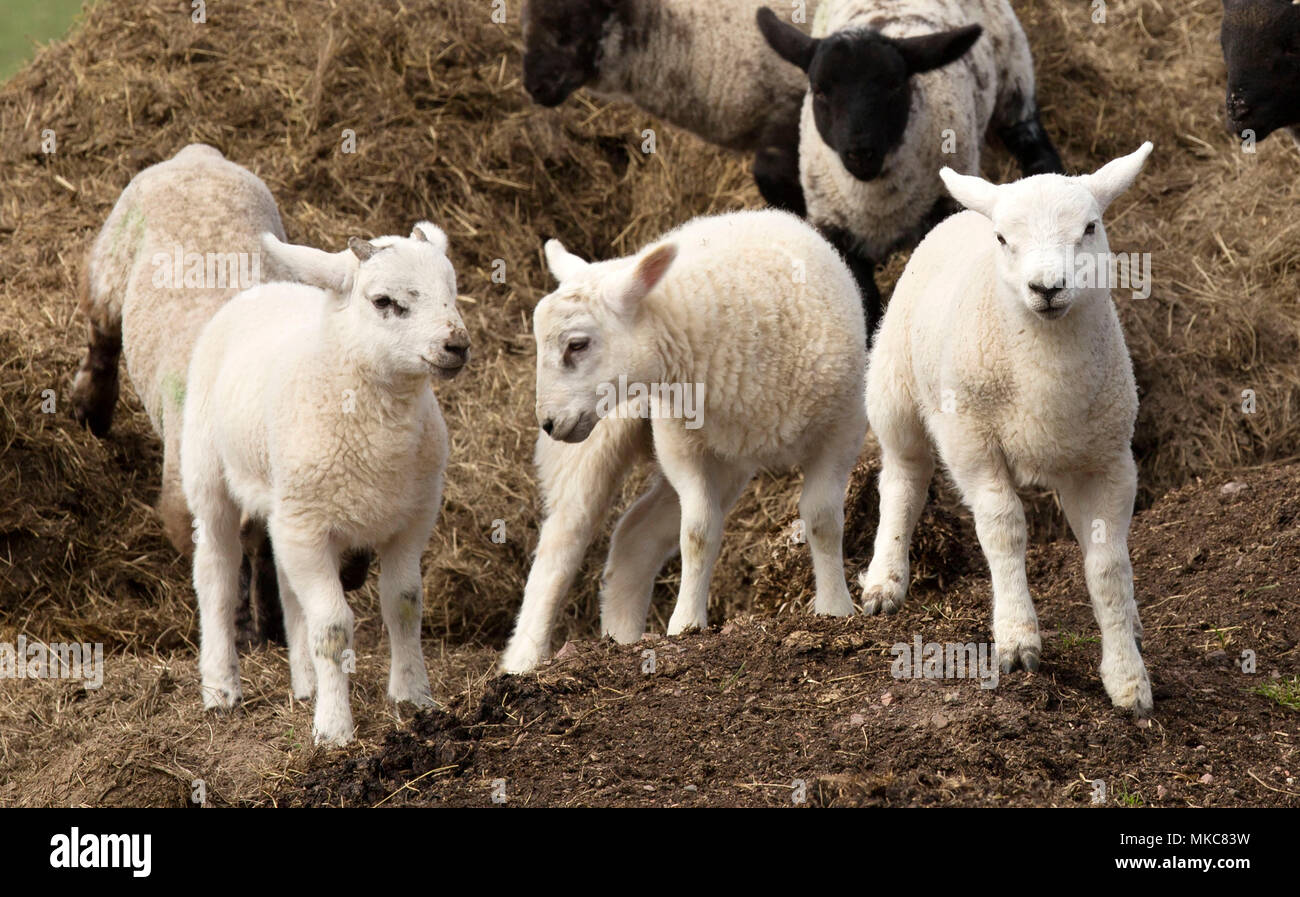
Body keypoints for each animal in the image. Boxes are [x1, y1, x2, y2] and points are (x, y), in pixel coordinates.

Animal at [181, 223, 470, 745]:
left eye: (452, 291)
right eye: (383, 301)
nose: (457, 345)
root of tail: (268, 288)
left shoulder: (411, 521)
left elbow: (404, 605)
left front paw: (413, 697)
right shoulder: (310, 529)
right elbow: (334, 629)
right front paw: (334, 729)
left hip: (289, 508)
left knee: (288, 584)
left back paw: (307, 683)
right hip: (209, 473)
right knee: (216, 572)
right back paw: (220, 687)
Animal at [499, 209, 867, 674]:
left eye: (577, 344)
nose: (547, 421)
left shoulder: (842, 431)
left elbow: (822, 519)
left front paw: (835, 609)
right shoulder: (679, 444)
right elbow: (697, 532)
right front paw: (686, 625)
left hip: (729, 463)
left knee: (634, 537)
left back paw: (622, 638)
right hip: (593, 446)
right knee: (561, 546)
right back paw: (522, 661)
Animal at [758, 0, 1064, 335]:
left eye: (894, 85)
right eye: (820, 90)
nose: (860, 152)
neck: (878, 204)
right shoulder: (837, 233)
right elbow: (866, 303)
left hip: (1014, 74)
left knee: (1032, 140)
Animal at [859, 143, 1155, 717]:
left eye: (1090, 227)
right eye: (1002, 239)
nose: (1047, 287)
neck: (1045, 368)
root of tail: (962, 212)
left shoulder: (1110, 461)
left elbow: (1108, 566)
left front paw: (1127, 677)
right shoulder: (972, 443)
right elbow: (1004, 528)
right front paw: (1018, 639)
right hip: (895, 393)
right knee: (903, 480)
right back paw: (886, 580)